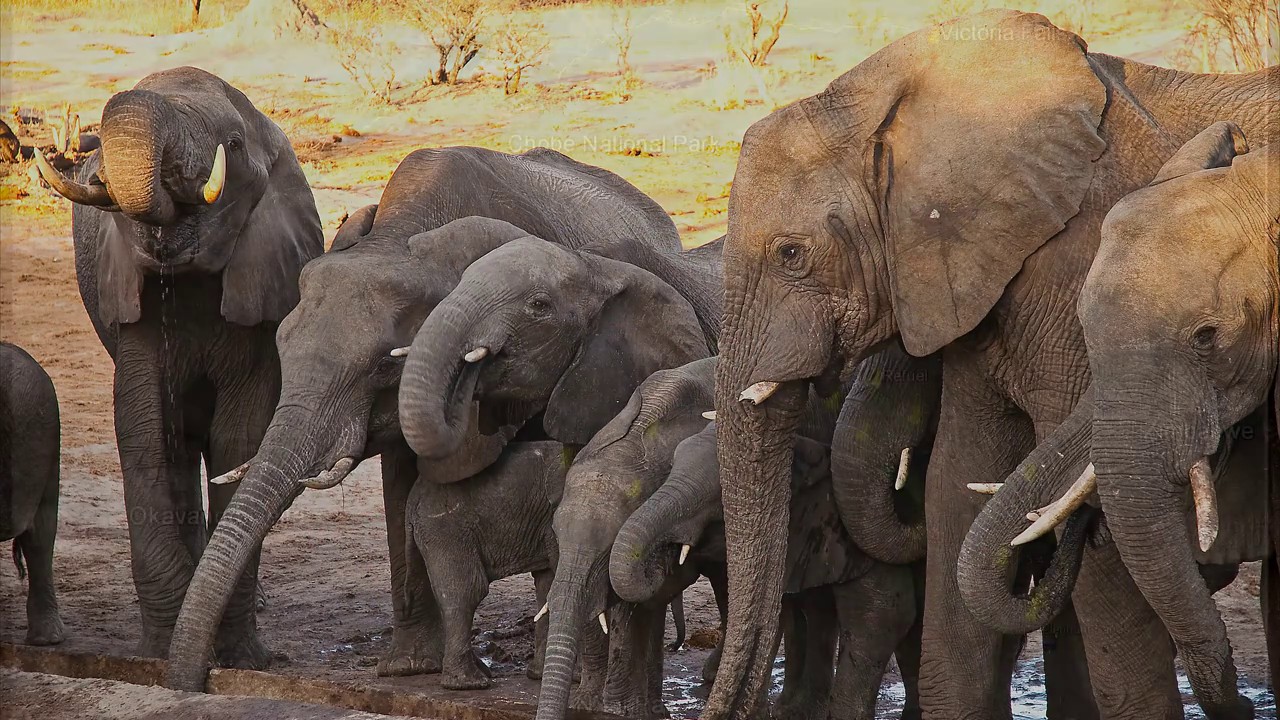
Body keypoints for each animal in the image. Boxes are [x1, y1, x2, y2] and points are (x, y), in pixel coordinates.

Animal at [33, 66, 324, 665]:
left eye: (232, 143)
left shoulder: (259, 294)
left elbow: (239, 438)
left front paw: (241, 660)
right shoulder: (131, 306)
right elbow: (146, 435)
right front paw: (158, 657)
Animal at [165, 145, 721, 691]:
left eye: (385, 365)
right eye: (281, 345)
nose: (197, 680)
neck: (402, 235)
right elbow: (401, 488)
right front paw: (408, 669)